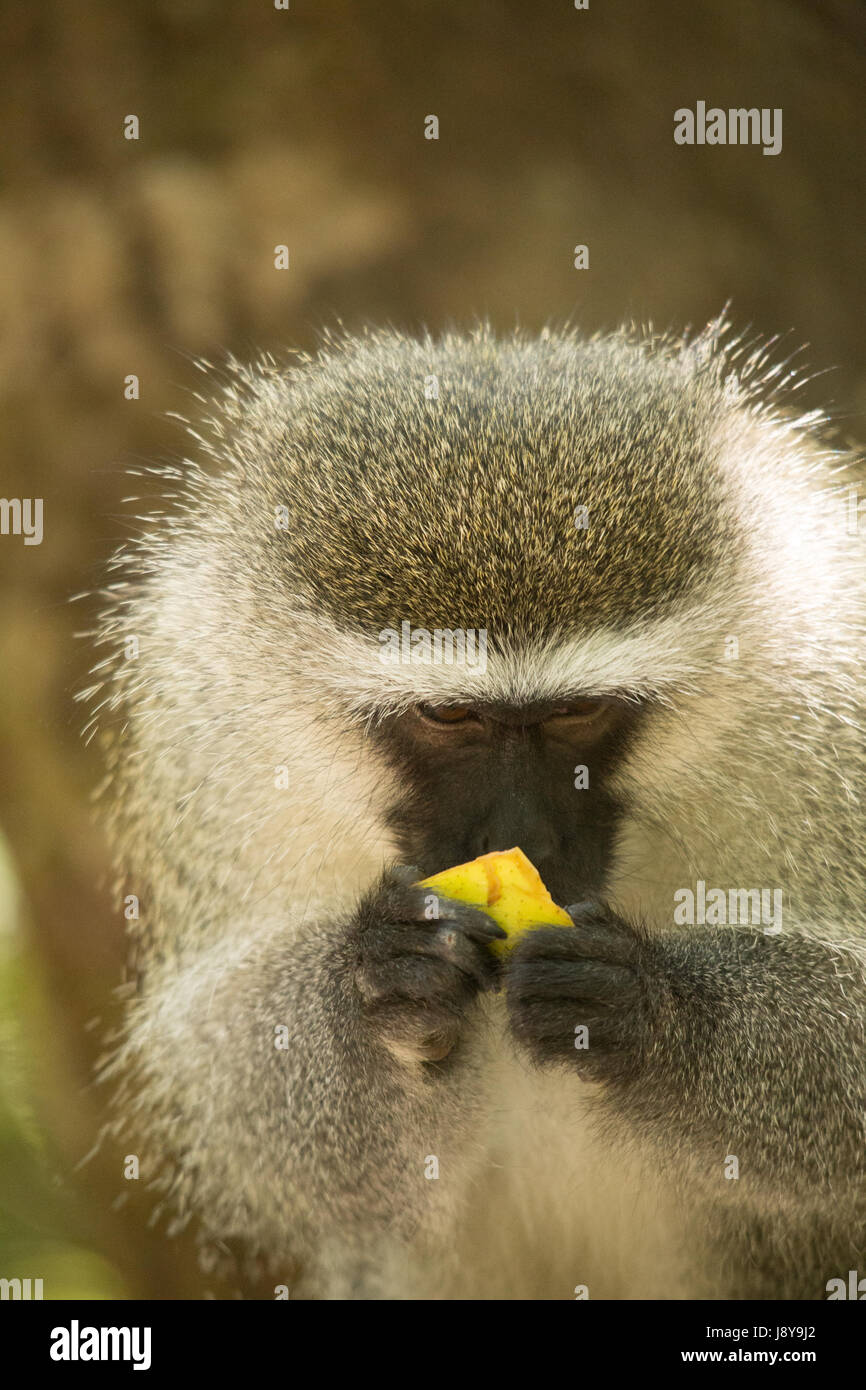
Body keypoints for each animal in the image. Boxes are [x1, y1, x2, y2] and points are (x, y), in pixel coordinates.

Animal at [85, 320, 866, 1300]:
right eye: (447, 715)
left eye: (576, 711)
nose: (518, 837)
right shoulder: (205, 729)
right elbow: (220, 1074)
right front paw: (382, 982)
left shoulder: (826, 696)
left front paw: (655, 1012)